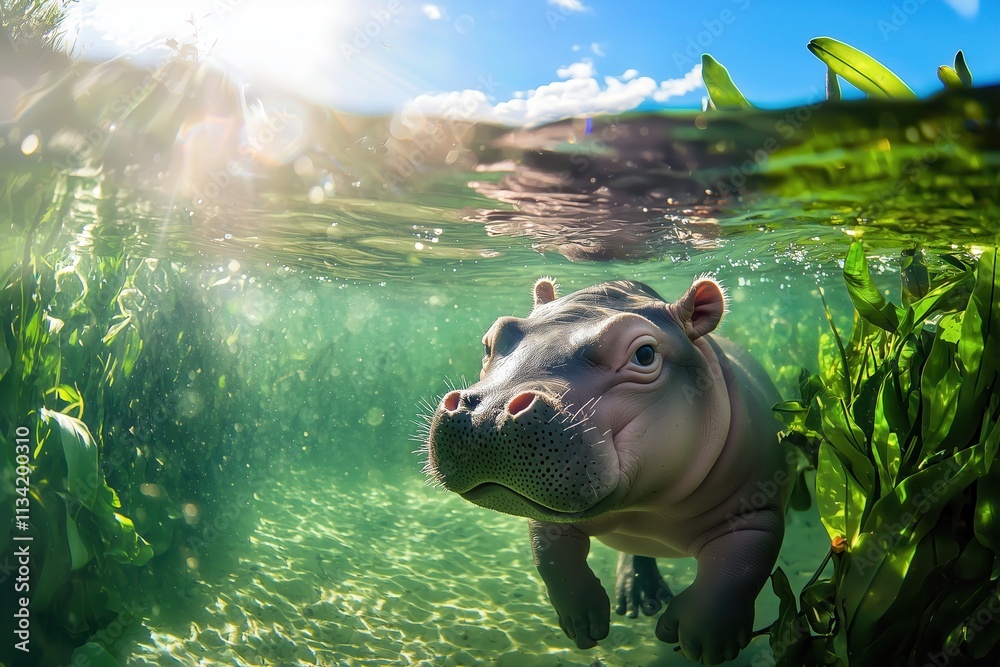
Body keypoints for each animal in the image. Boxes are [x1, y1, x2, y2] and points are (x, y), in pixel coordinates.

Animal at [422, 277, 792, 665]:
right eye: (491, 340)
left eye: (644, 355)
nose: (487, 414)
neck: (643, 508)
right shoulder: (547, 516)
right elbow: (553, 562)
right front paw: (585, 624)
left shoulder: (755, 512)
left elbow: (732, 577)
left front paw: (701, 641)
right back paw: (640, 597)